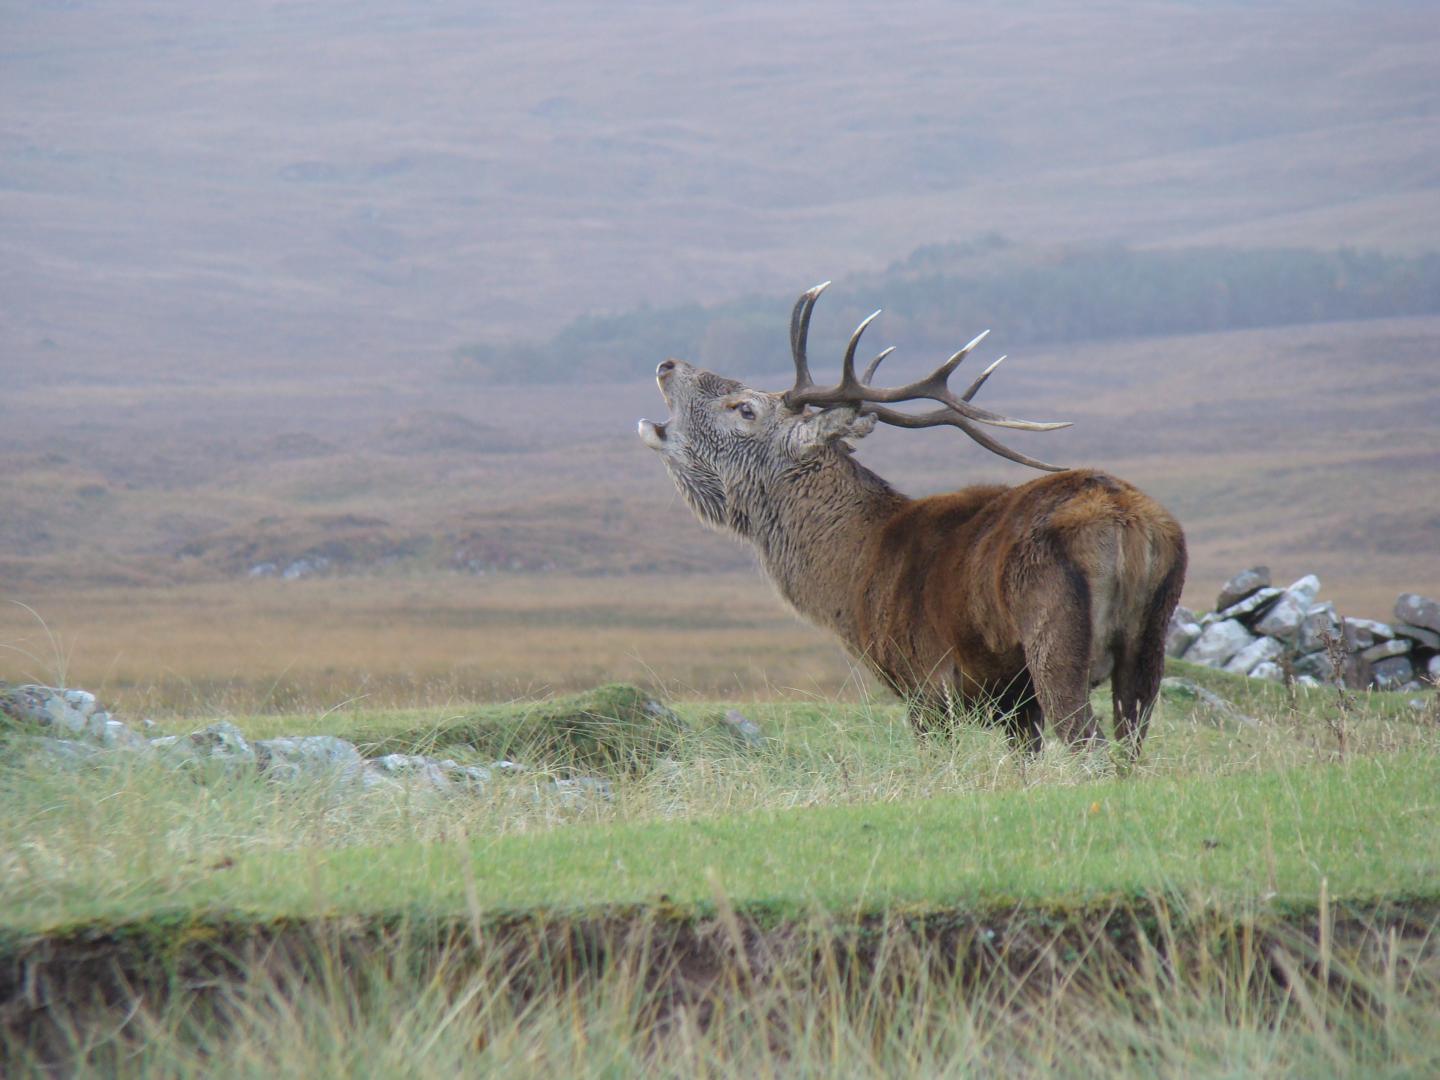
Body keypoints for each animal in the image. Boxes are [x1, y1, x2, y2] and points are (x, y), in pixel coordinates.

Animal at [638, 282, 1187, 765]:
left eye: (745, 409)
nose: (667, 364)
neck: (852, 577)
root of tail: (1129, 524)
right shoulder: (1012, 698)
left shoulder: (925, 682)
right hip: (1150, 642)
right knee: (1131, 749)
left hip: (1054, 634)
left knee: (1089, 745)